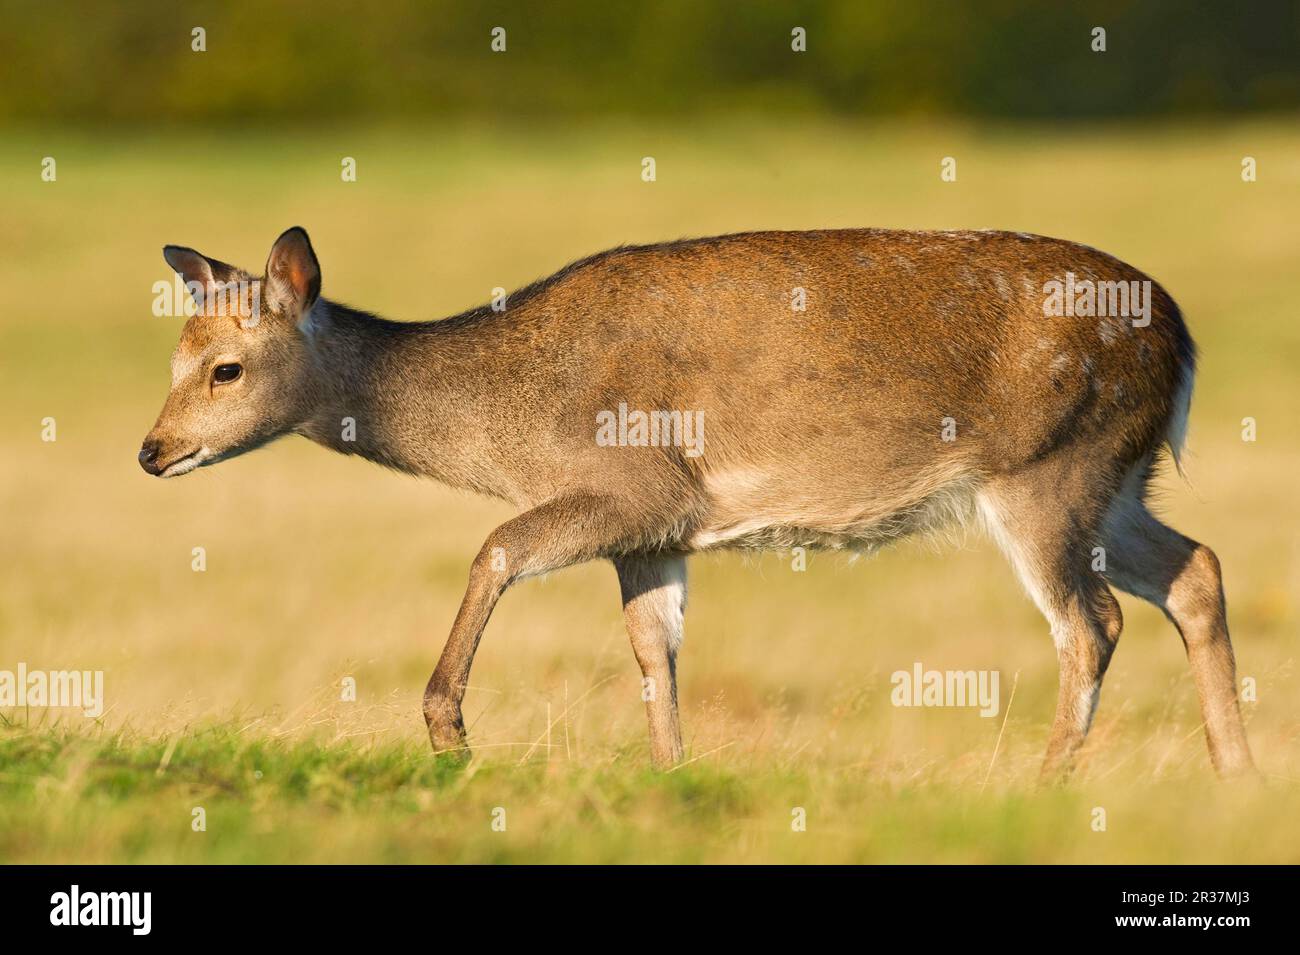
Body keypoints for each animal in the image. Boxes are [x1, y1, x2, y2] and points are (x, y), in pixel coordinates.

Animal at [140, 226, 1256, 781]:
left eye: (227, 368)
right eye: (175, 357)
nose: (152, 450)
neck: (507, 426)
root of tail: (1184, 338)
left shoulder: (634, 483)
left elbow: (496, 546)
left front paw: (447, 730)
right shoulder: (655, 529)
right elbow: (654, 646)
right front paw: (671, 772)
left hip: (1046, 468)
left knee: (1090, 621)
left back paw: (1040, 781)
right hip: (1115, 478)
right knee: (1194, 570)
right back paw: (1235, 773)